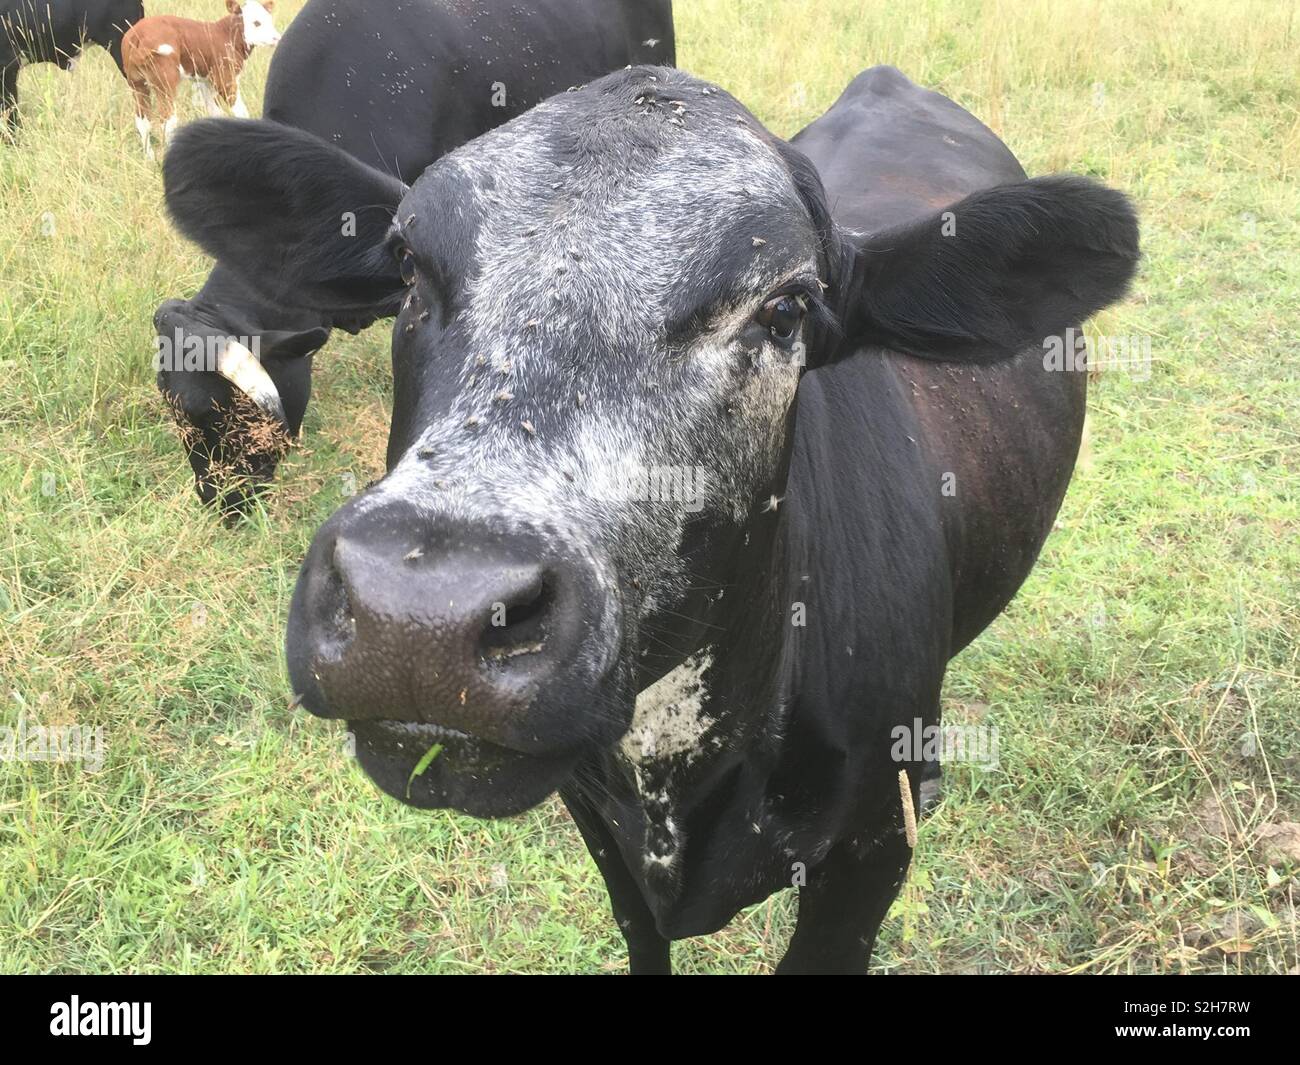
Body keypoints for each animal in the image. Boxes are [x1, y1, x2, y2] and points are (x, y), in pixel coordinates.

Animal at [121, 0, 282, 160]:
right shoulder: (224, 77)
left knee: (143, 121)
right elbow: (241, 112)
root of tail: (137, 35)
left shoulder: (205, 80)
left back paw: (150, 158)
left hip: (137, 83)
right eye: (256, 23)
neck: (227, 35)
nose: (276, 38)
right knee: (167, 120)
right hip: (165, 81)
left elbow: (215, 112)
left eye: (269, 20)